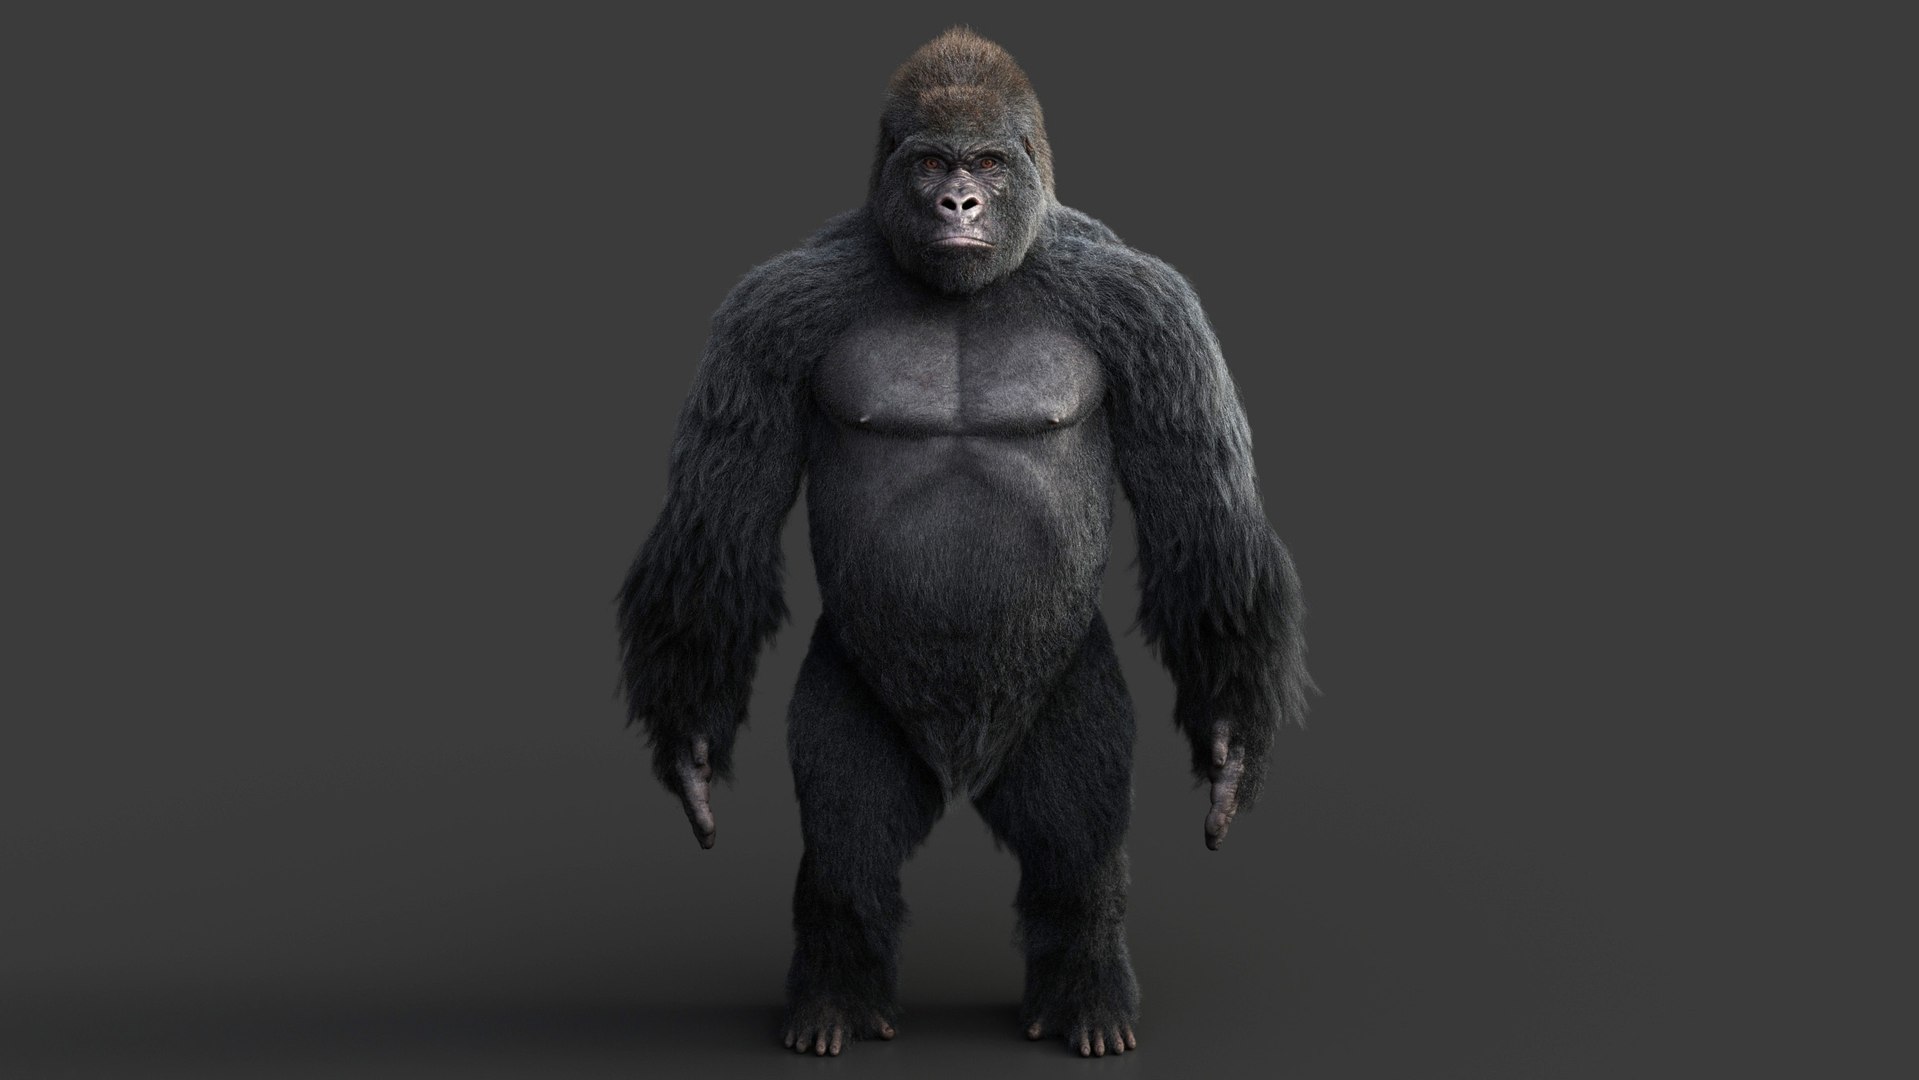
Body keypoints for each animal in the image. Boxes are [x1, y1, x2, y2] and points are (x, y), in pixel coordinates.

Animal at [617, 27, 1313, 1058]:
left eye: (985, 163)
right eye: (931, 165)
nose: (959, 205)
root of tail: (961, 769)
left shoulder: (1151, 308)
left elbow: (1202, 519)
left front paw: (1231, 740)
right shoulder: (768, 312)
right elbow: (719, 527)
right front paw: (690, 742)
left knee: (1074, 844)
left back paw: (1085, 996)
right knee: (848, 847)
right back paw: (835, 997)